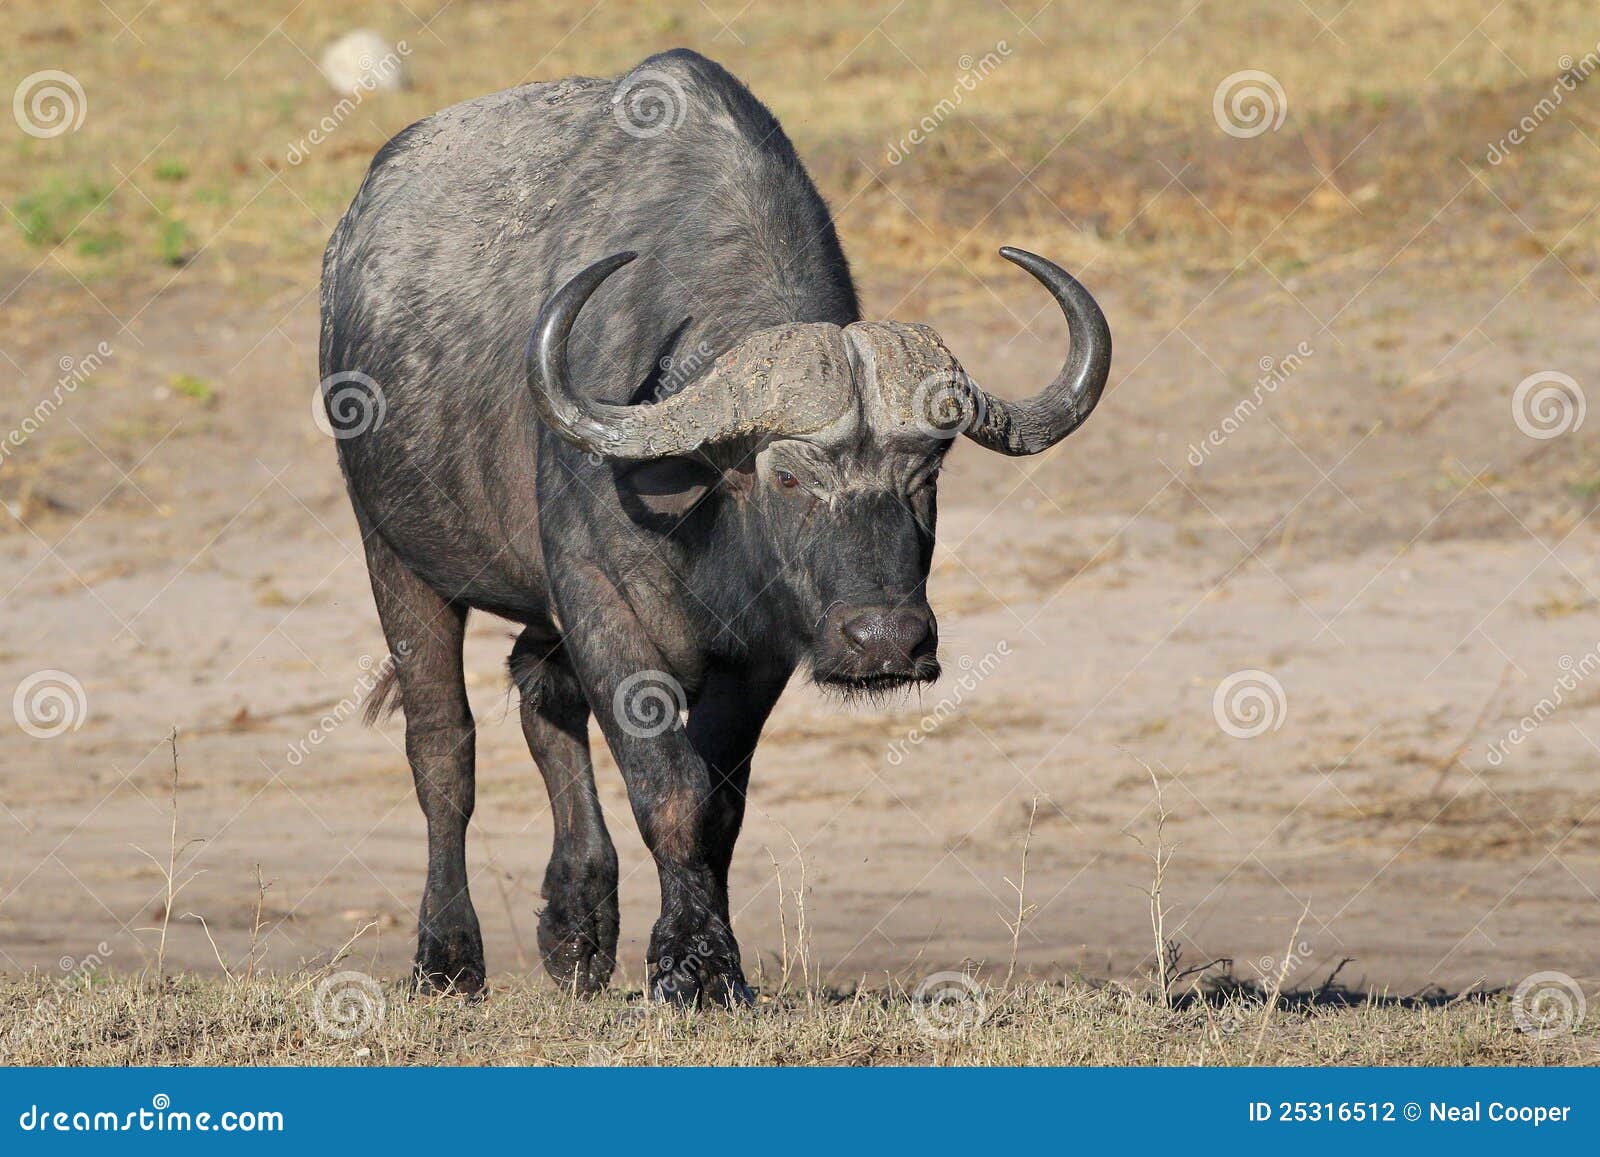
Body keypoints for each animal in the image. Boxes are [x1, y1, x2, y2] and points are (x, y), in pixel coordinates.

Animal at [320, 49, 1110, 1003]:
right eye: (790, 475)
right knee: (444, 749)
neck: (695, 490)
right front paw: (686, 964)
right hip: (395, 554)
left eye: (925, 475)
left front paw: (710, 958)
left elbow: (721, 802)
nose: (886, 639)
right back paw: (447, 954)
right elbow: (672, 789)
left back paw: (577, 930)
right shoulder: (601, 604)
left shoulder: (760, 651)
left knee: (541, 698)